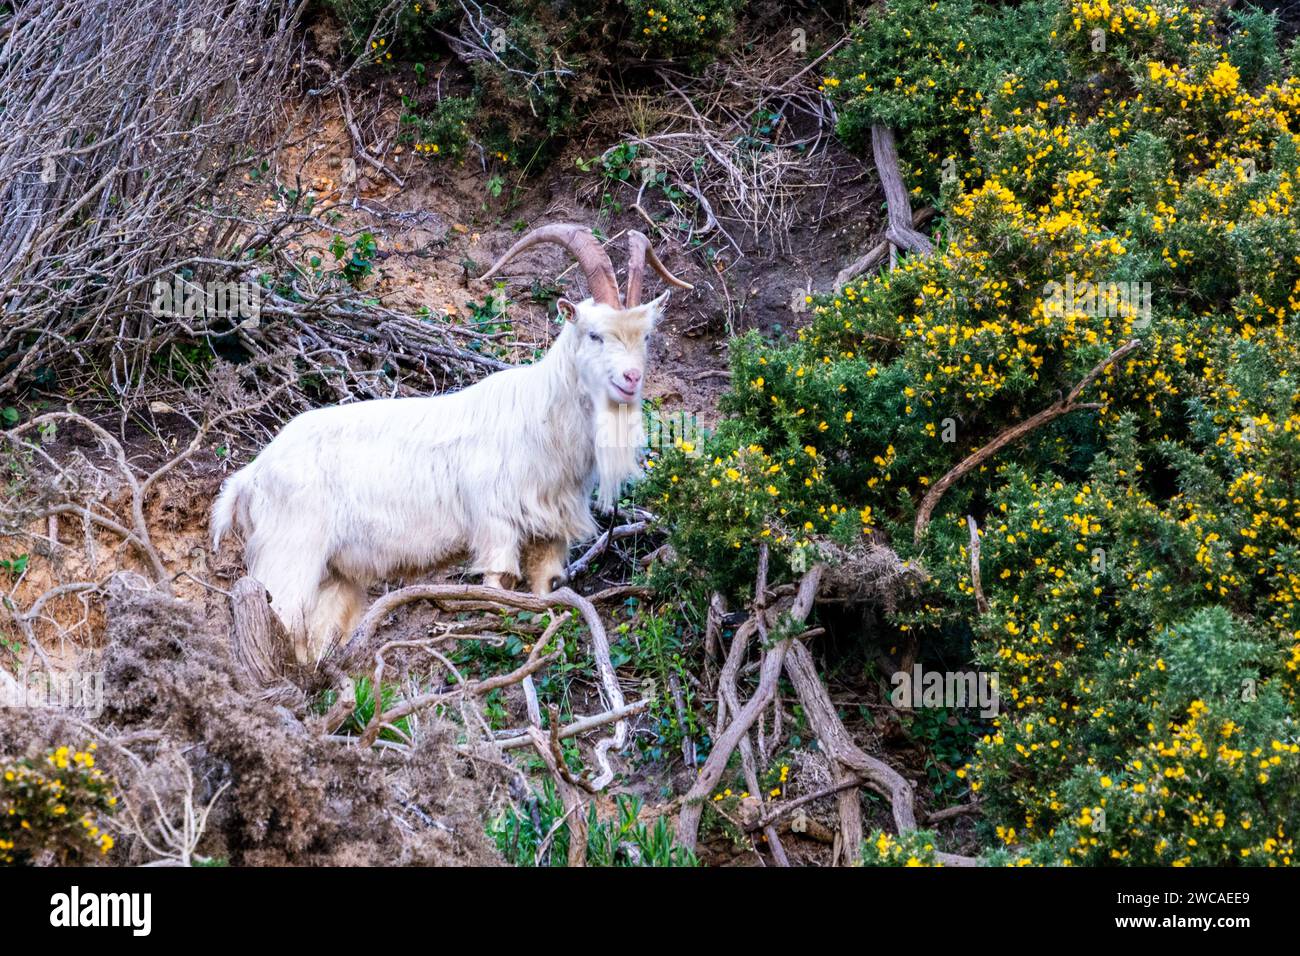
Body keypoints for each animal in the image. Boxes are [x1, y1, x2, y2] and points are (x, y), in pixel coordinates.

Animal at [211, 224, 691, 663]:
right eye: (594, 334)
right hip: (291, 553)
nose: (631, 379)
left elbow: (544, 592)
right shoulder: (496, 524)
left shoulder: (548, 537)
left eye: (646, 336)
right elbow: (500, 586)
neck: (539, 414)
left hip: (334, 574)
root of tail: (251, 476)